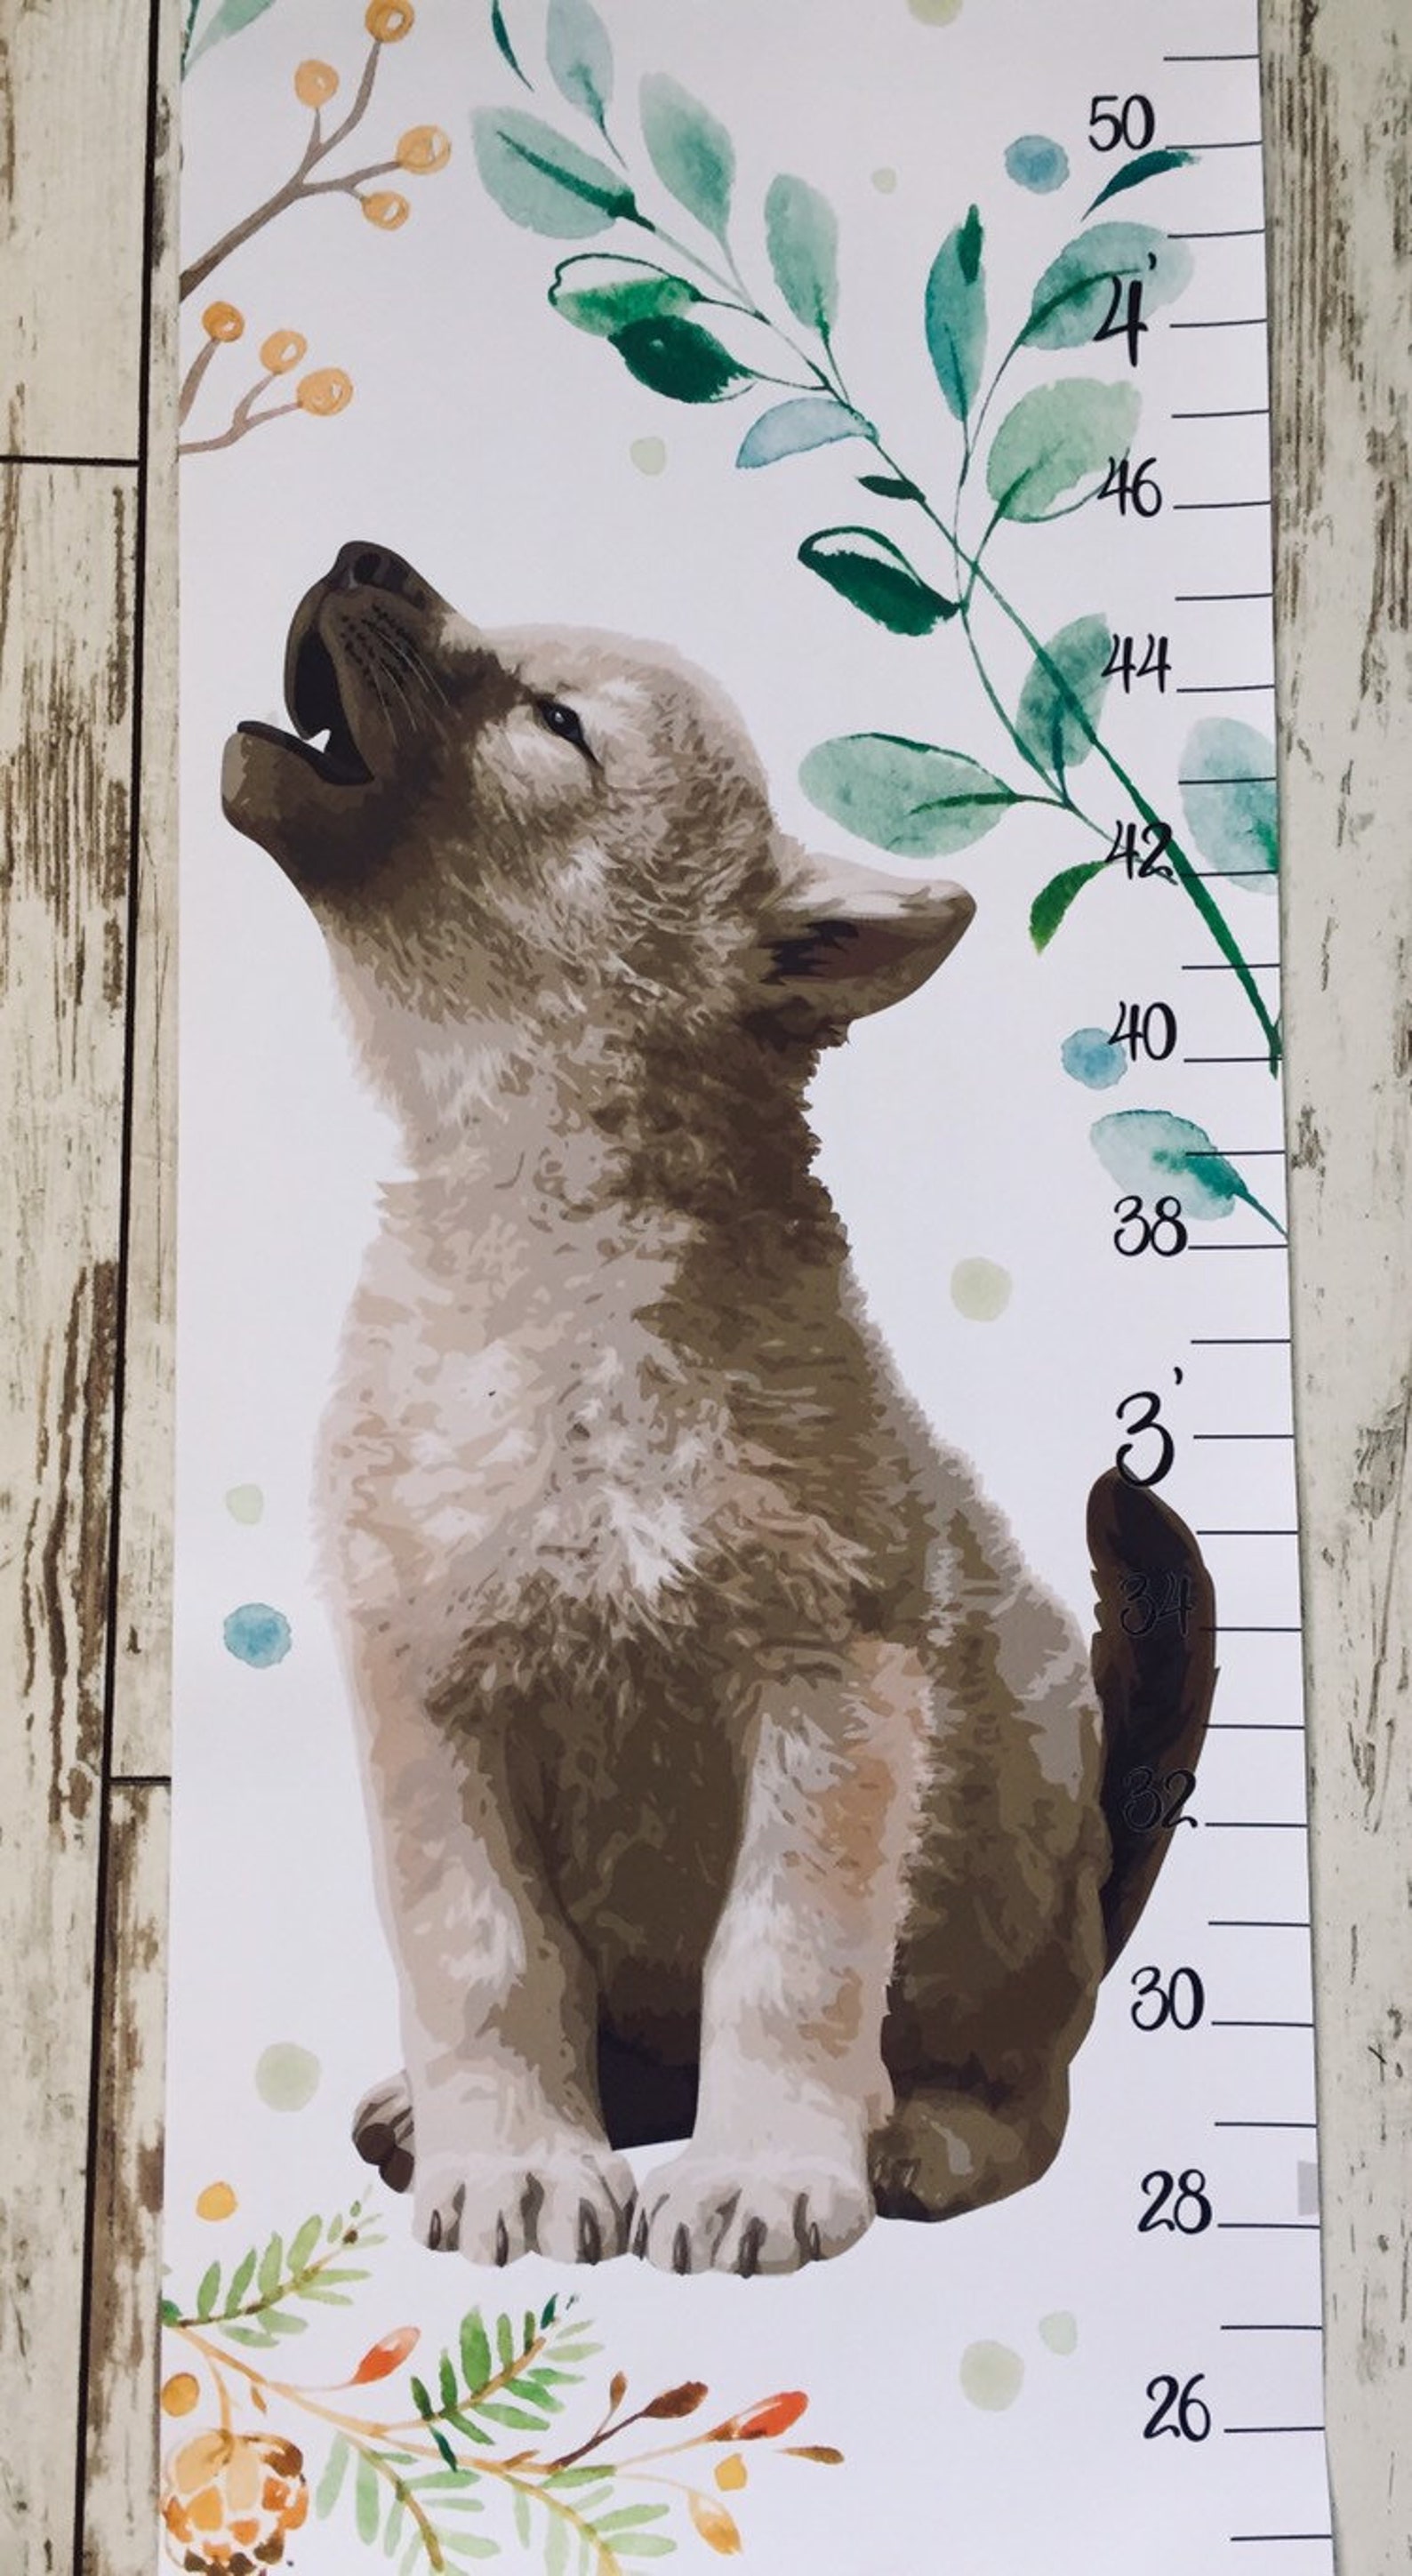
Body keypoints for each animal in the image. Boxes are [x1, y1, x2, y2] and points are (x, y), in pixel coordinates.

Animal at [222, 540, 1214, 2276]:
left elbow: (787, 1959)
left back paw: (922, 2131)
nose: (358, 554)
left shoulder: (831, 1686)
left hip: (1015, 1834)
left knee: (1026, 2084)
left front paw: (764, 2168)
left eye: (557, 723)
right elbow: (485, 1955)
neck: (549, 1240)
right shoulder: (431, 1693)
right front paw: (513, 2154)